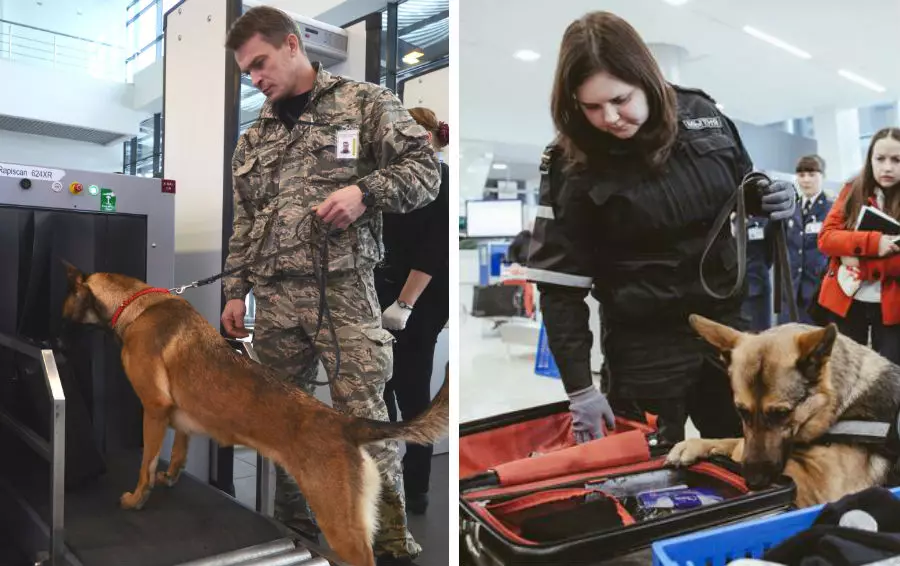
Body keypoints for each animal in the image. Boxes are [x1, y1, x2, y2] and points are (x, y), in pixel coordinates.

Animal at [59, 266, 446, 566]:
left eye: (65, 299)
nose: (56, 328)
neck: (137, 305)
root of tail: (346, 424)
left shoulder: (153, 410)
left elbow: (146, 465)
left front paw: (137, 498)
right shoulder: (180, 416)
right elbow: (179, 450)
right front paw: (171, 476)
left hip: (340, 525)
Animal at [664, 316, 900, 510]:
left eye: (781, 413)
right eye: (741, 411)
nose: (754, 482)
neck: (833, 406)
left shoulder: (823, 487)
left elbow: (742, 448)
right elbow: (735, 440)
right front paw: (695, 445)